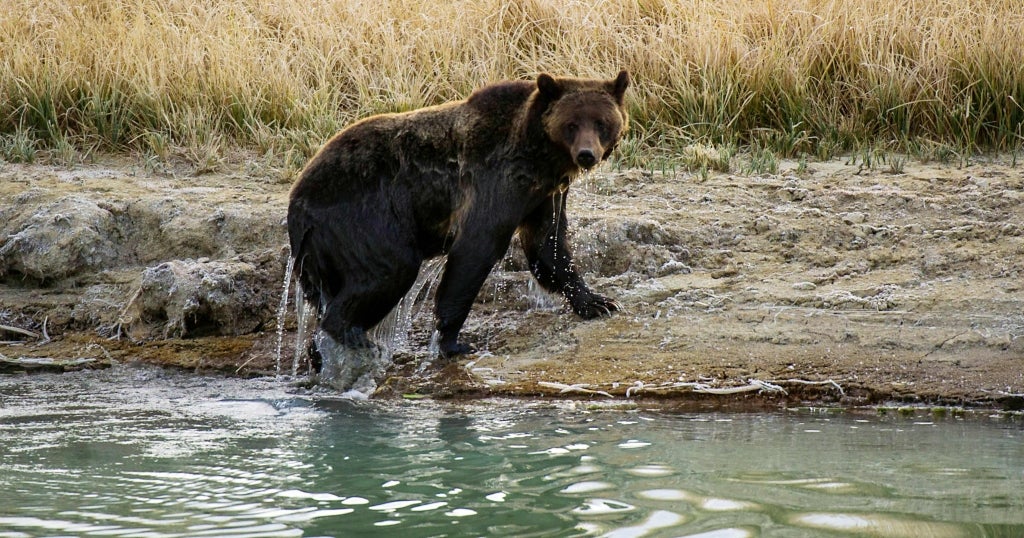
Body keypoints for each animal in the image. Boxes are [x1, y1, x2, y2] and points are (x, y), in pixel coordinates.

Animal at [288, 71, 630, 360]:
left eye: (600, 122)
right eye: (571, 124)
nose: (586, 154)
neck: (539, 159)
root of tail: (296, 202)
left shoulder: (543, 196)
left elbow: (549, 246)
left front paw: (598, 301)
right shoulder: (494, 181)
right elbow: (476, 248)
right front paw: (453, 341)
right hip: (363, 216)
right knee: (389, 269)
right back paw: (356, 339)